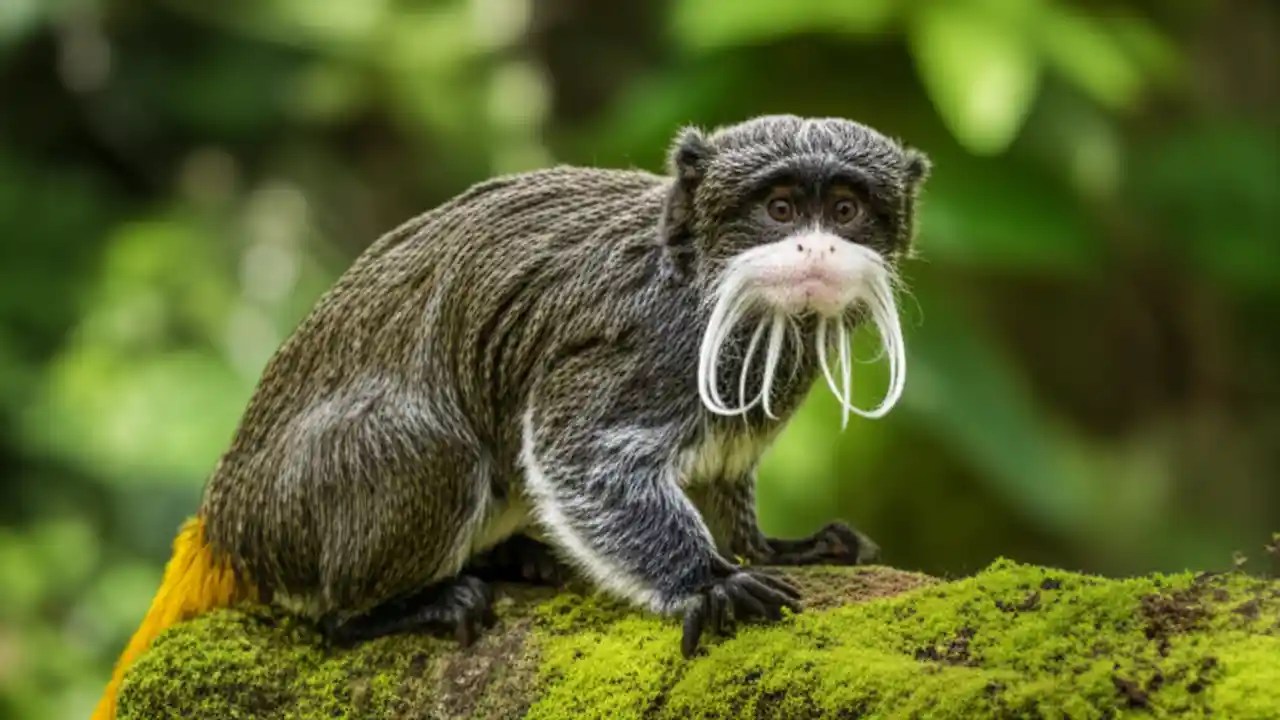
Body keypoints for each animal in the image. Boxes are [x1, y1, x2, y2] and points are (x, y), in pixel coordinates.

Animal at [92, 114, 929, 719]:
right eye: (780, 209)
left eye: (846, 211)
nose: (816, 250)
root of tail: (226, 521)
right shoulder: (652, 338)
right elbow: (579, 451)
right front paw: (705, 583)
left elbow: (727, 474)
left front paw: (771, 547)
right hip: (307, 506)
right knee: (429, 457)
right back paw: (394, 607)